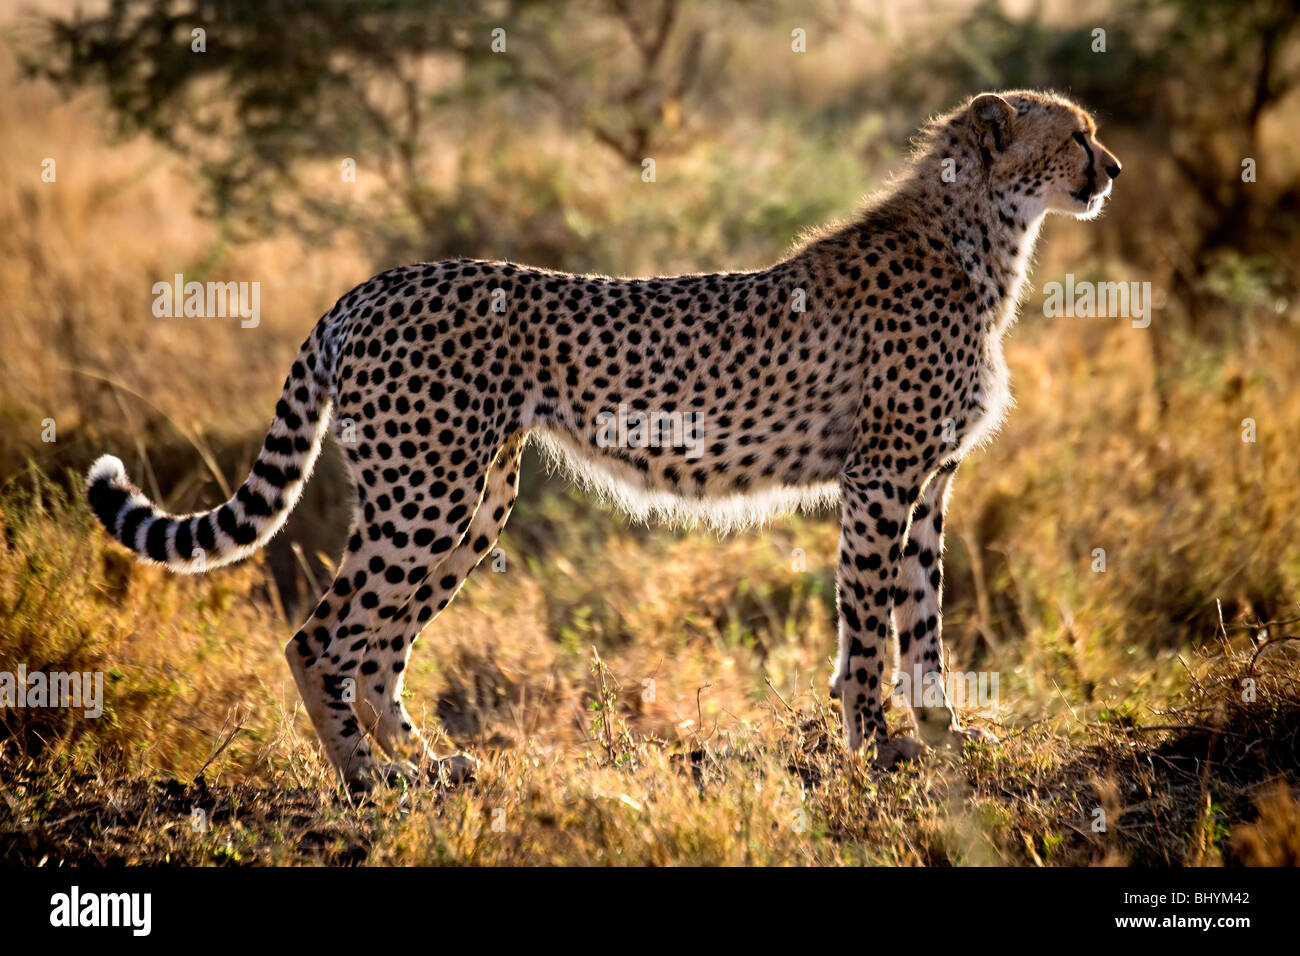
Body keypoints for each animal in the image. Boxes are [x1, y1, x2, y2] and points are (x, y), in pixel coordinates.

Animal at [86, 90, 1121, 785]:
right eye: (1074, 135)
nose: (1109, 171)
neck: (981, 237)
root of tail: (372, 285)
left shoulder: (930, 479)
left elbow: (924, 621)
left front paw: (944, 734)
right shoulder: (881, 478)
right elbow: (868, 627)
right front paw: (872, 748)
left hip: (473, 504)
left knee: (377, 653)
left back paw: (436, 769)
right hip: (426, 495)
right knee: (320, 640)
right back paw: (368, 782)